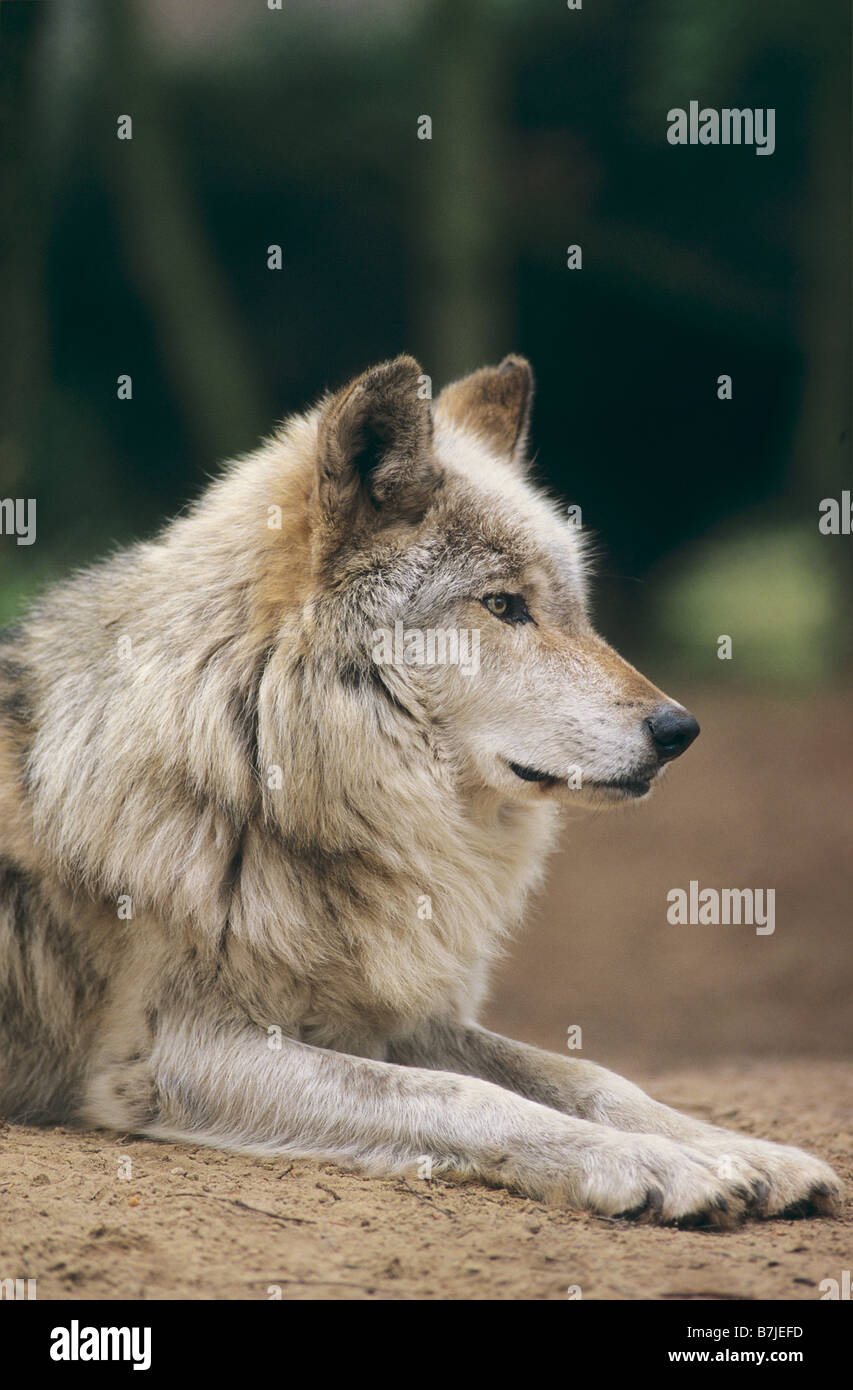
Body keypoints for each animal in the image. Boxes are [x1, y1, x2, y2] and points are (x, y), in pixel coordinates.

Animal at [0, 355, 841, 1225]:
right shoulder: (178, 1051)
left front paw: (740, 1152)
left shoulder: (395, 1012)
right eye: (502, 605)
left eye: (575, 612)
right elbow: (467, 1097)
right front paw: (652, 1163)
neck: (261, 780)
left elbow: (592, 1077)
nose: (679, 730)